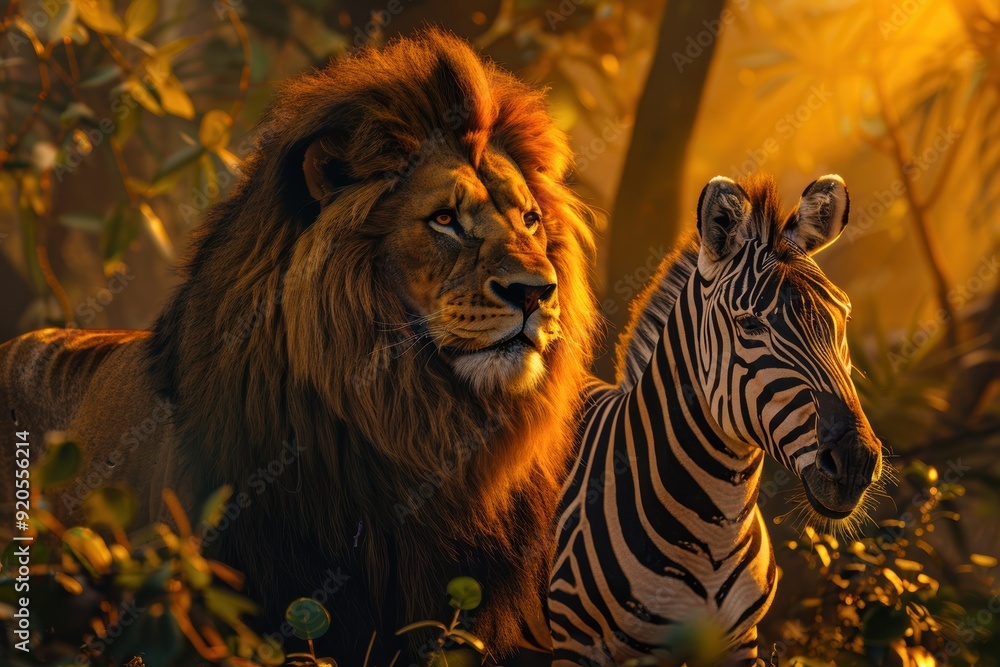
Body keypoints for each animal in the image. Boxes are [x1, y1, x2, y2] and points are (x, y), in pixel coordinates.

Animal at [548, 174, 884, 665]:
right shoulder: (578, 646)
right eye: (749, 325)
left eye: (844, 317)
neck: (715, 532)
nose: (855, 461)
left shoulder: (739, 641)